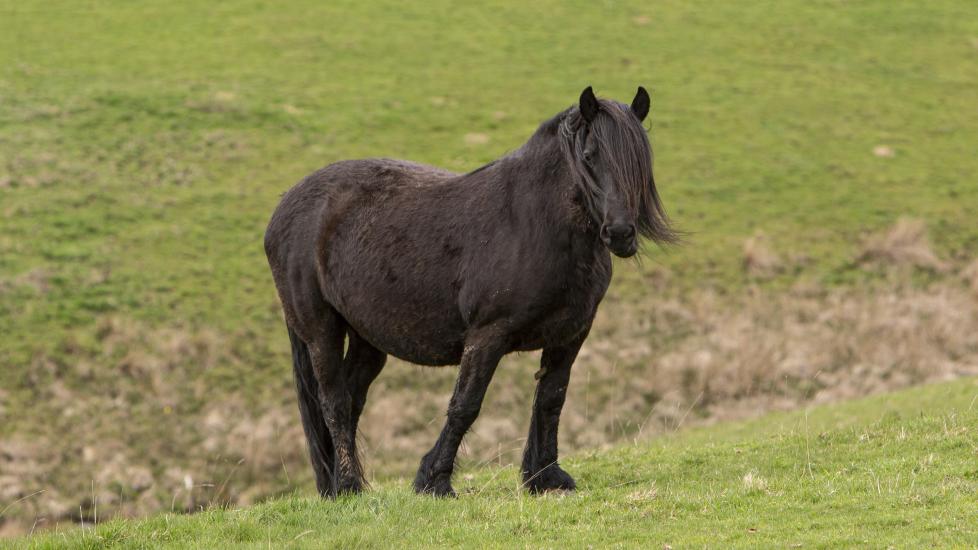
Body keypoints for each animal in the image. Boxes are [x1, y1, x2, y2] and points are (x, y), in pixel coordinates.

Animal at [264, 86, 676, 498]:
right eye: (590, 156)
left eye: (642, 158)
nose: (620, 234)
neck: (535, 223)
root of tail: (285, 206)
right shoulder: (488, 335)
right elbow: (465, 404)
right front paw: (434, 480)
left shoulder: (570, 335)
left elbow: (550, 400)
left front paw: (545, 477)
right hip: (321, 332)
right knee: (333, 402)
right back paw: (348, 486)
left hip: (368, 339)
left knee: (350, 400)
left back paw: (339, 485)